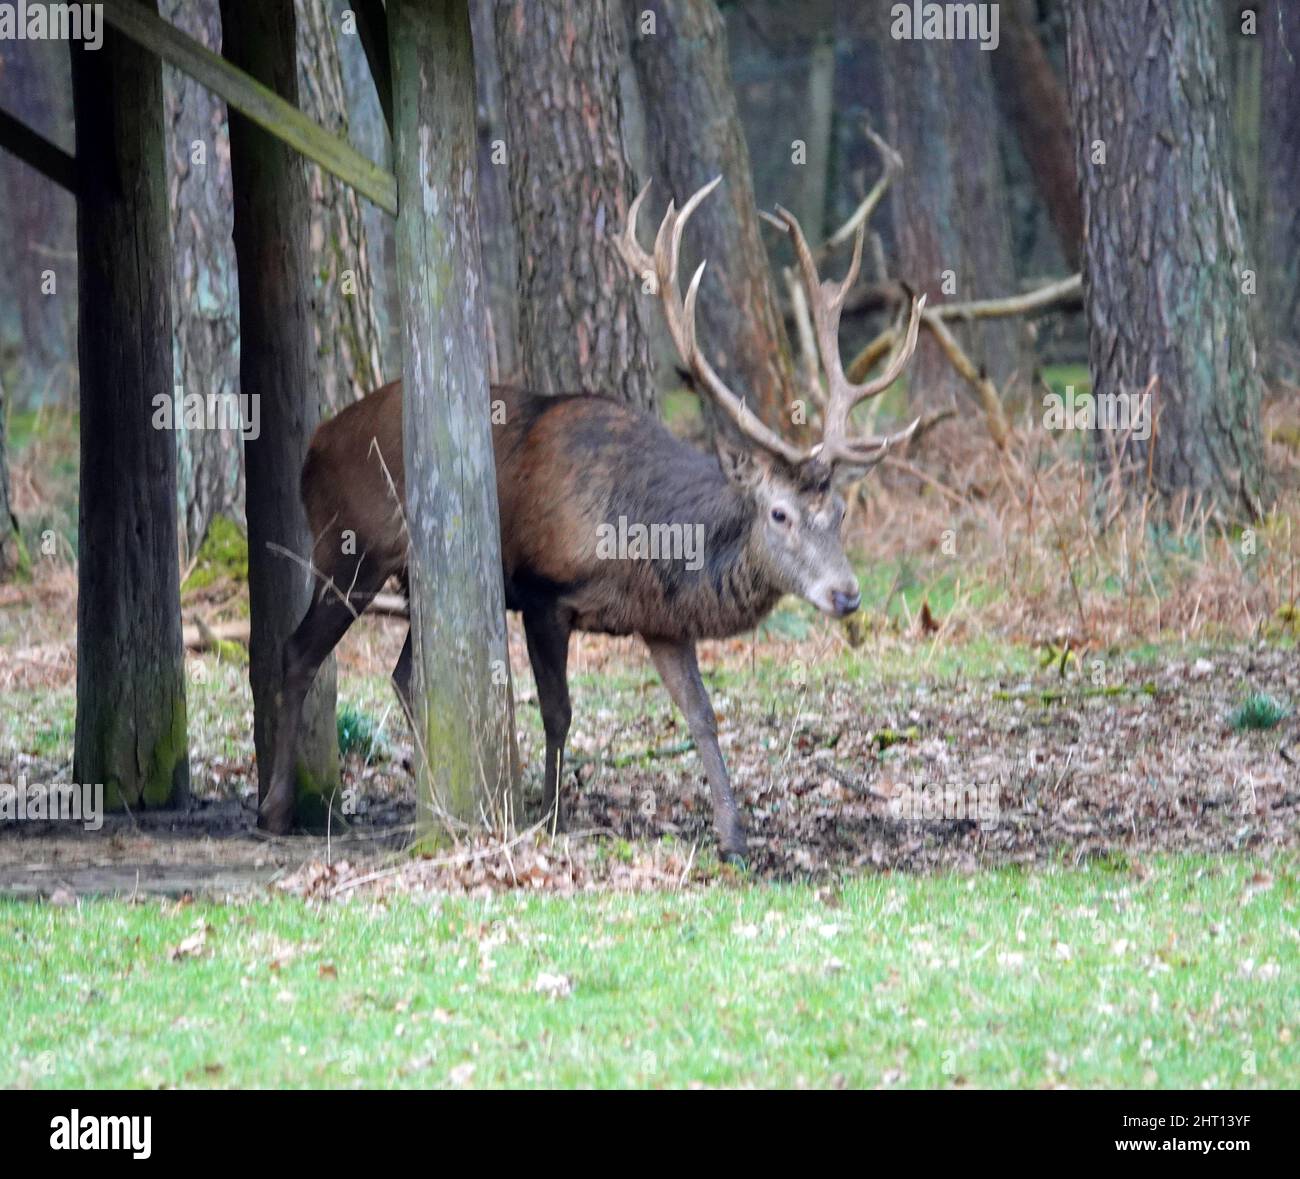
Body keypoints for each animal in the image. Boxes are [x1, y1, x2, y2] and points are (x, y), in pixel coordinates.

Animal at [260, 176, 924, 861]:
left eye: (839, 511)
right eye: (780, 513)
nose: (847, 594)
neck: (637, 541)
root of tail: (313, 446)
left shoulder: (661, 621)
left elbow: (702, 714)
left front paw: (733, 836)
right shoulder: (542, 592)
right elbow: (558, 710)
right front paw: (551, 813)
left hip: (420, 582)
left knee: (403, 674)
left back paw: (432, 790)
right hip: (349, 550)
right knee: (299, 651)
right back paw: (278, 807)